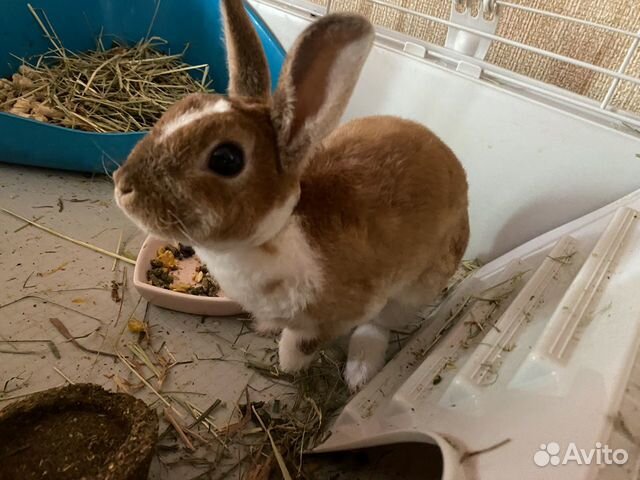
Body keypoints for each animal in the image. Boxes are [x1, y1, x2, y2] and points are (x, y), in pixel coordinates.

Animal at [113, 0, 469, 392]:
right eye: (183, 106)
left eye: (226, 159)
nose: (123, 186)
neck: (278, 232)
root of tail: (457, 170)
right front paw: (265, 328)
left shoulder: (344, 310)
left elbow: (304, 341)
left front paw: (288, 366)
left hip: (416, 289)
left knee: (379, 326)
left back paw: (359, 373)